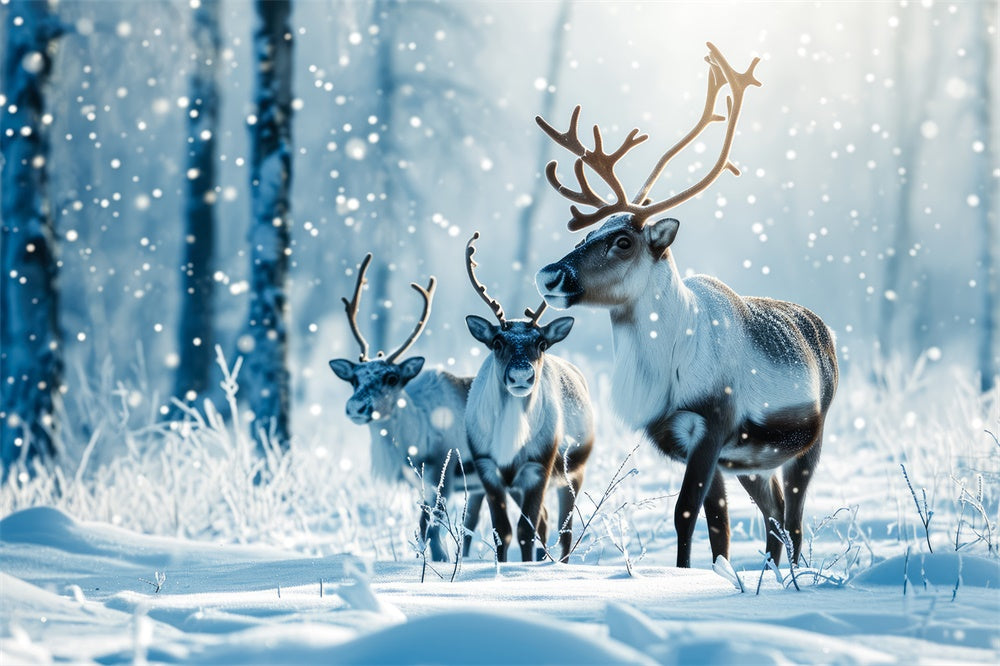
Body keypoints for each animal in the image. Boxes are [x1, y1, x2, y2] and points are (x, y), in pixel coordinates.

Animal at [328, 254, 484, 562]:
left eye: (391, 377)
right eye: (354, 379)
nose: (356, 407)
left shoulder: (444, 476)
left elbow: (433, 532)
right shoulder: (418, 482)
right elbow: (424, 528)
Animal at [463, 232, 594, 563]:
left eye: (542, 343)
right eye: (497, 342)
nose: (521, 376)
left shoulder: (539, 466)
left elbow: (526, 530)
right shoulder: (488, 467)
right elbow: (503, 532)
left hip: (573, 471)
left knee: (563, 528)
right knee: (546, 521)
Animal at [534, 43, 839, 569]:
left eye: (623, 241)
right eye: (587, 234)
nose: (550, 274)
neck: (666, 369)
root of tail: (826, 331)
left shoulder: (711, 426)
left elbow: (686, 512)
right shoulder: (690, 441)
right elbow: (716, 523)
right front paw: (709, 574)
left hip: (808, 443)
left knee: (795, 518)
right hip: (752, 462)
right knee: (775, 513)